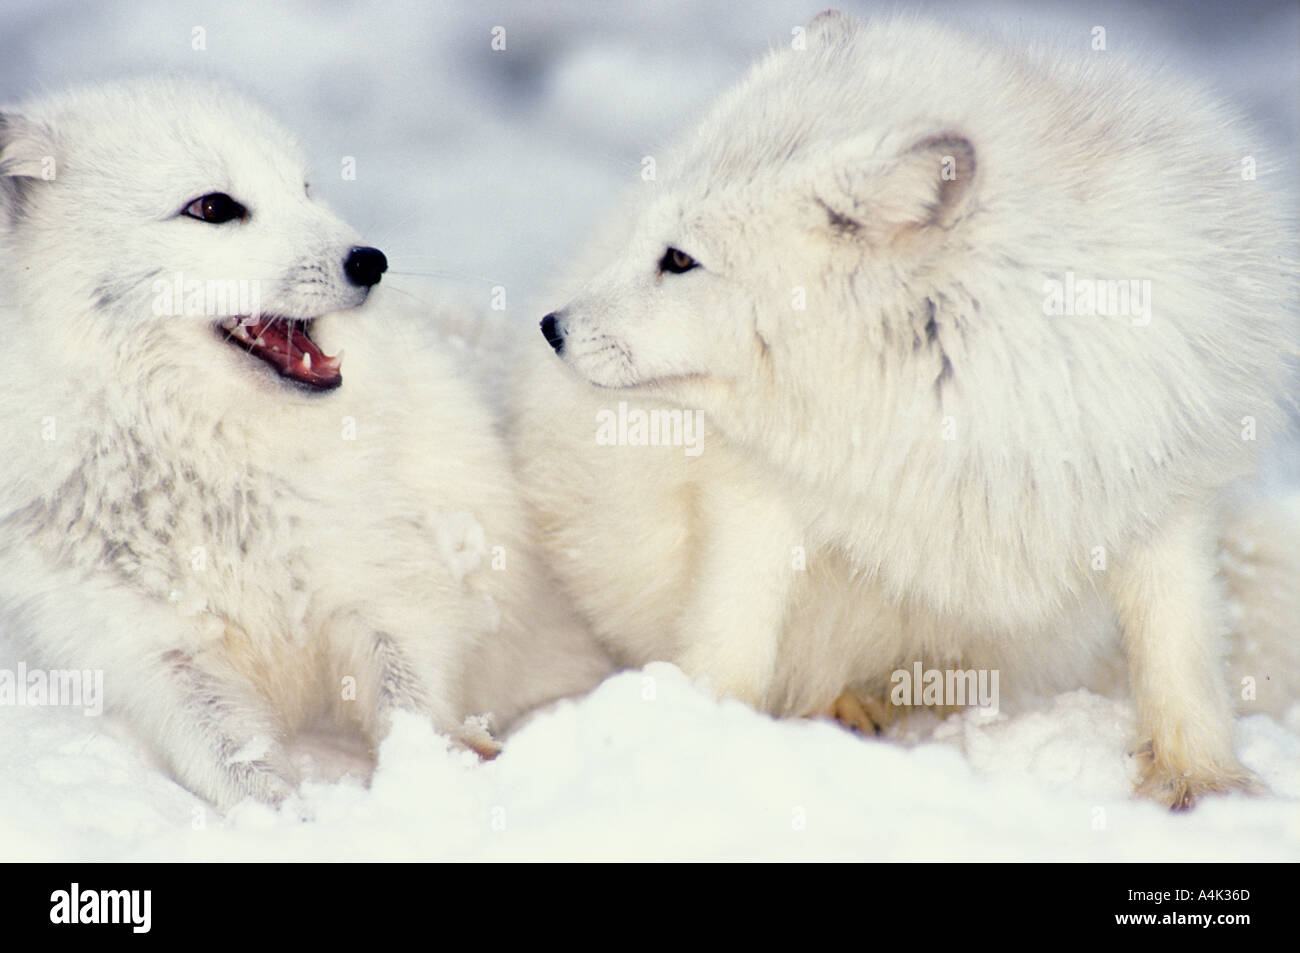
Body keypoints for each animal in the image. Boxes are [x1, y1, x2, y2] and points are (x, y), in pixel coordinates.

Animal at [0, 76, 610, 810]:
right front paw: (293, 818)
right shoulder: (149, 655)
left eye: (306, 189)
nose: (370, 260)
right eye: (213, 208)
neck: (214, 459)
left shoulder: (385, 591)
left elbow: (412, 703)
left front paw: (428, 782)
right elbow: (233, 767)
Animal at [513, 11, 1298, 809]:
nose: (551, 327)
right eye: (651, 244)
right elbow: (733, 635)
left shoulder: (1164, 491)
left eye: (679, 259)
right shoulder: (757, 497)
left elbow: (1180, 654)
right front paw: (702, 732)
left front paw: (1203, 781)